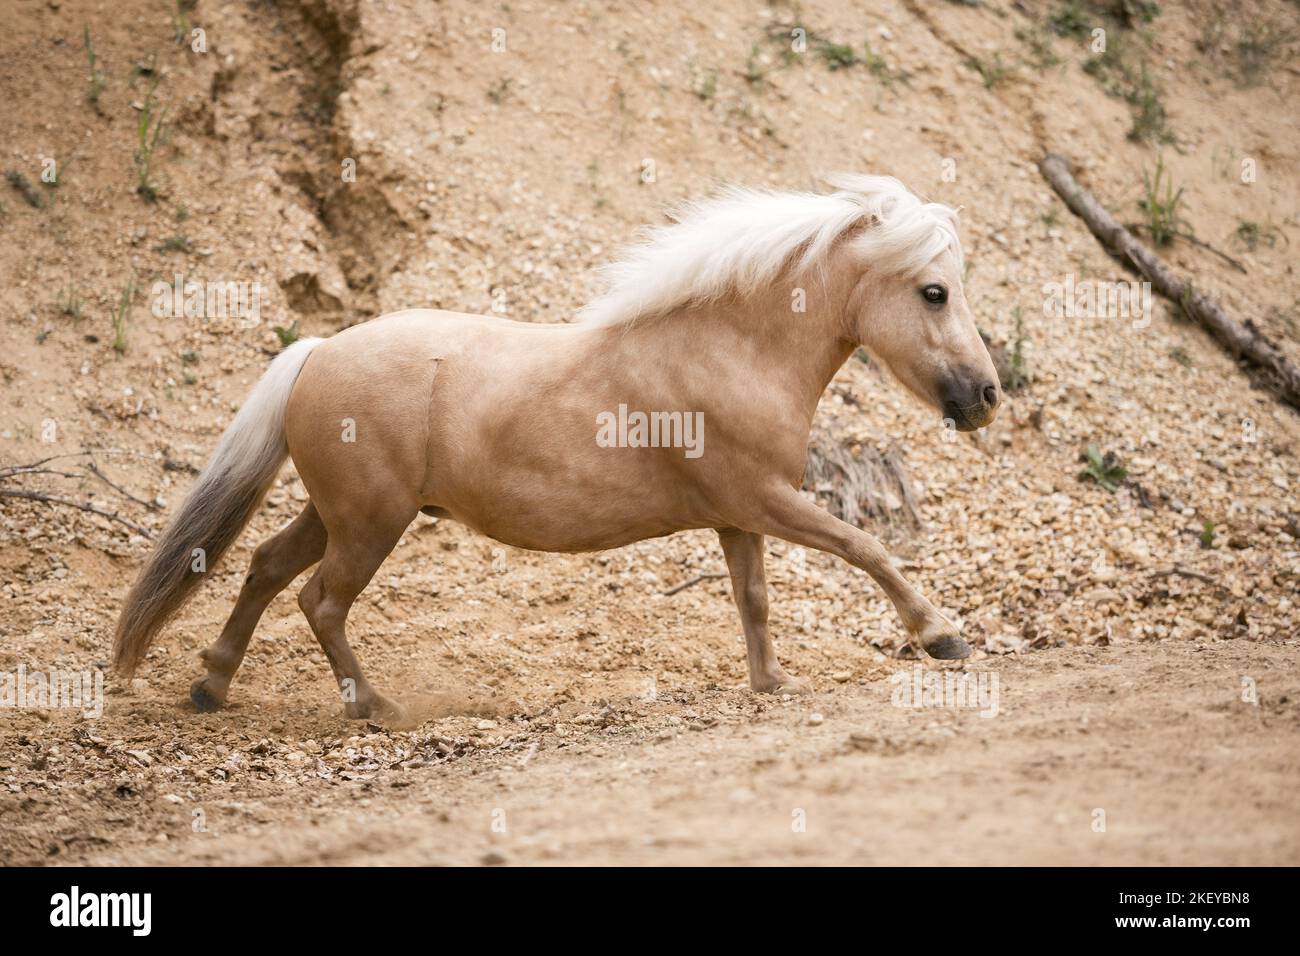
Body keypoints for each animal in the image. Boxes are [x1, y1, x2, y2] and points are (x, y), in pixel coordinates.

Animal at [112, 174, 1001, 723]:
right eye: (934, 292)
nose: (988, 396)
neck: (729, 349)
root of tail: (319, 350)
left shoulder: (739, 518)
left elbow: (753, 600)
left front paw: (770, 683)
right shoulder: (767, 501)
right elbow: (866, 549)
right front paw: (941, 634)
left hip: (339, 514)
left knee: (265, 568)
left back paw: (211, 684)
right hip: (369, 525)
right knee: (320, 602)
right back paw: (376, 708)